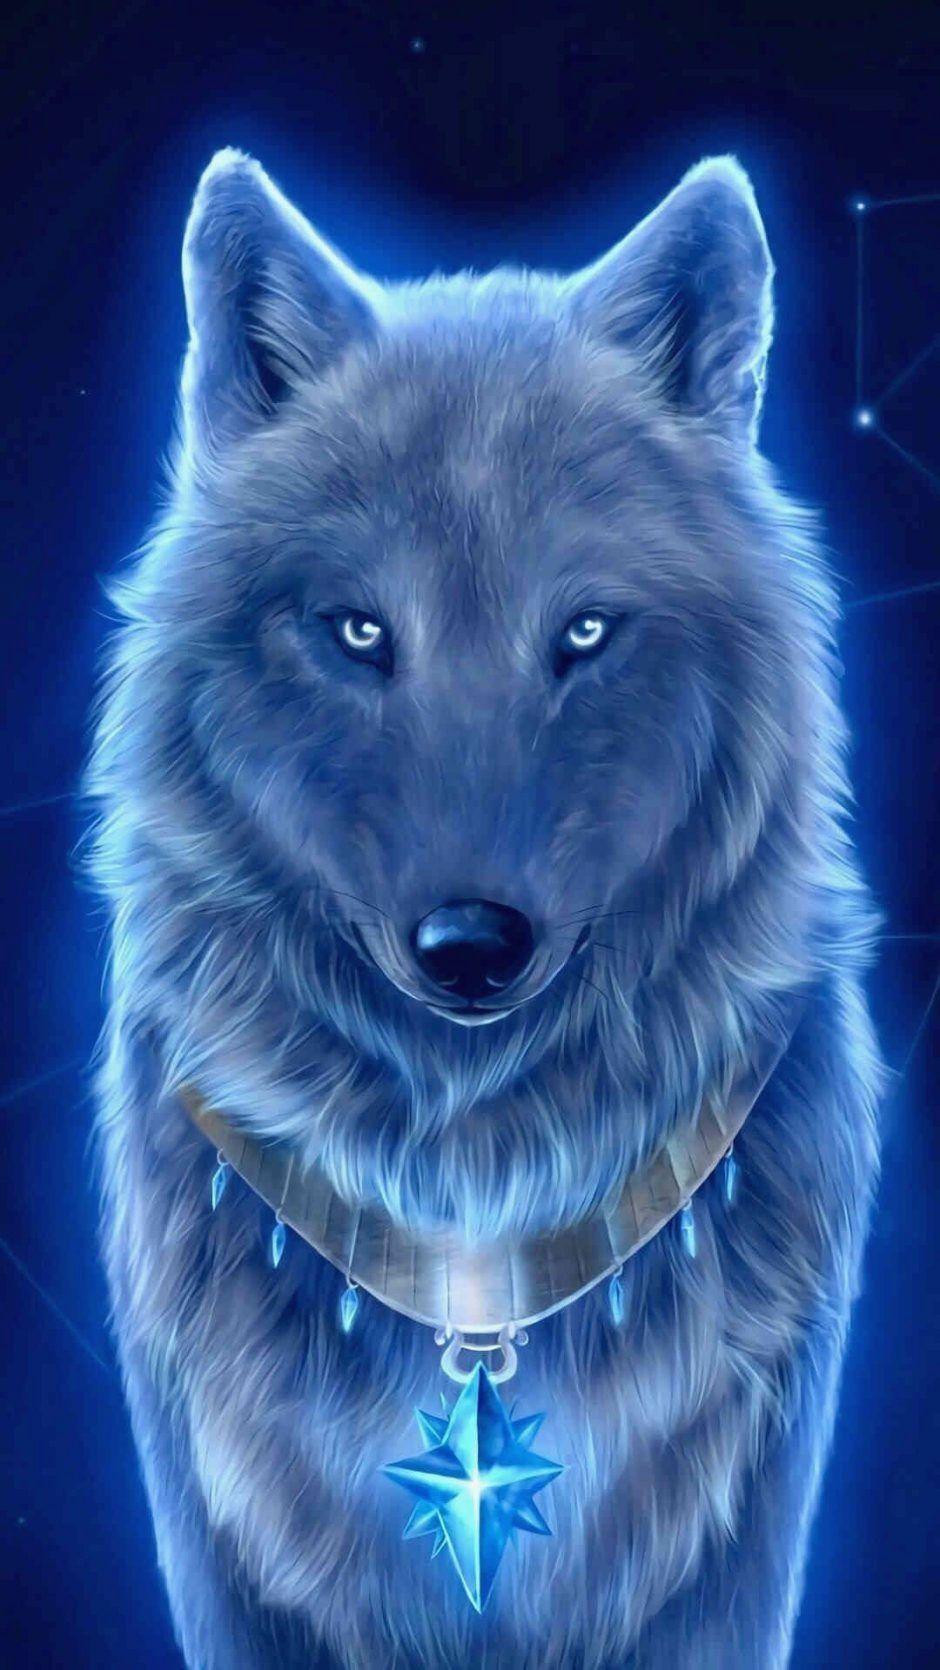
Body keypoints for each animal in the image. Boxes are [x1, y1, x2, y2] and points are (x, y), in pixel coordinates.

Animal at [88, 147, 882, 1669]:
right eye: (358, 631)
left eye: (582, 631)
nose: (470, 948)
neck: (473, 1223)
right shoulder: (223, 1546)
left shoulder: (734, 1550)